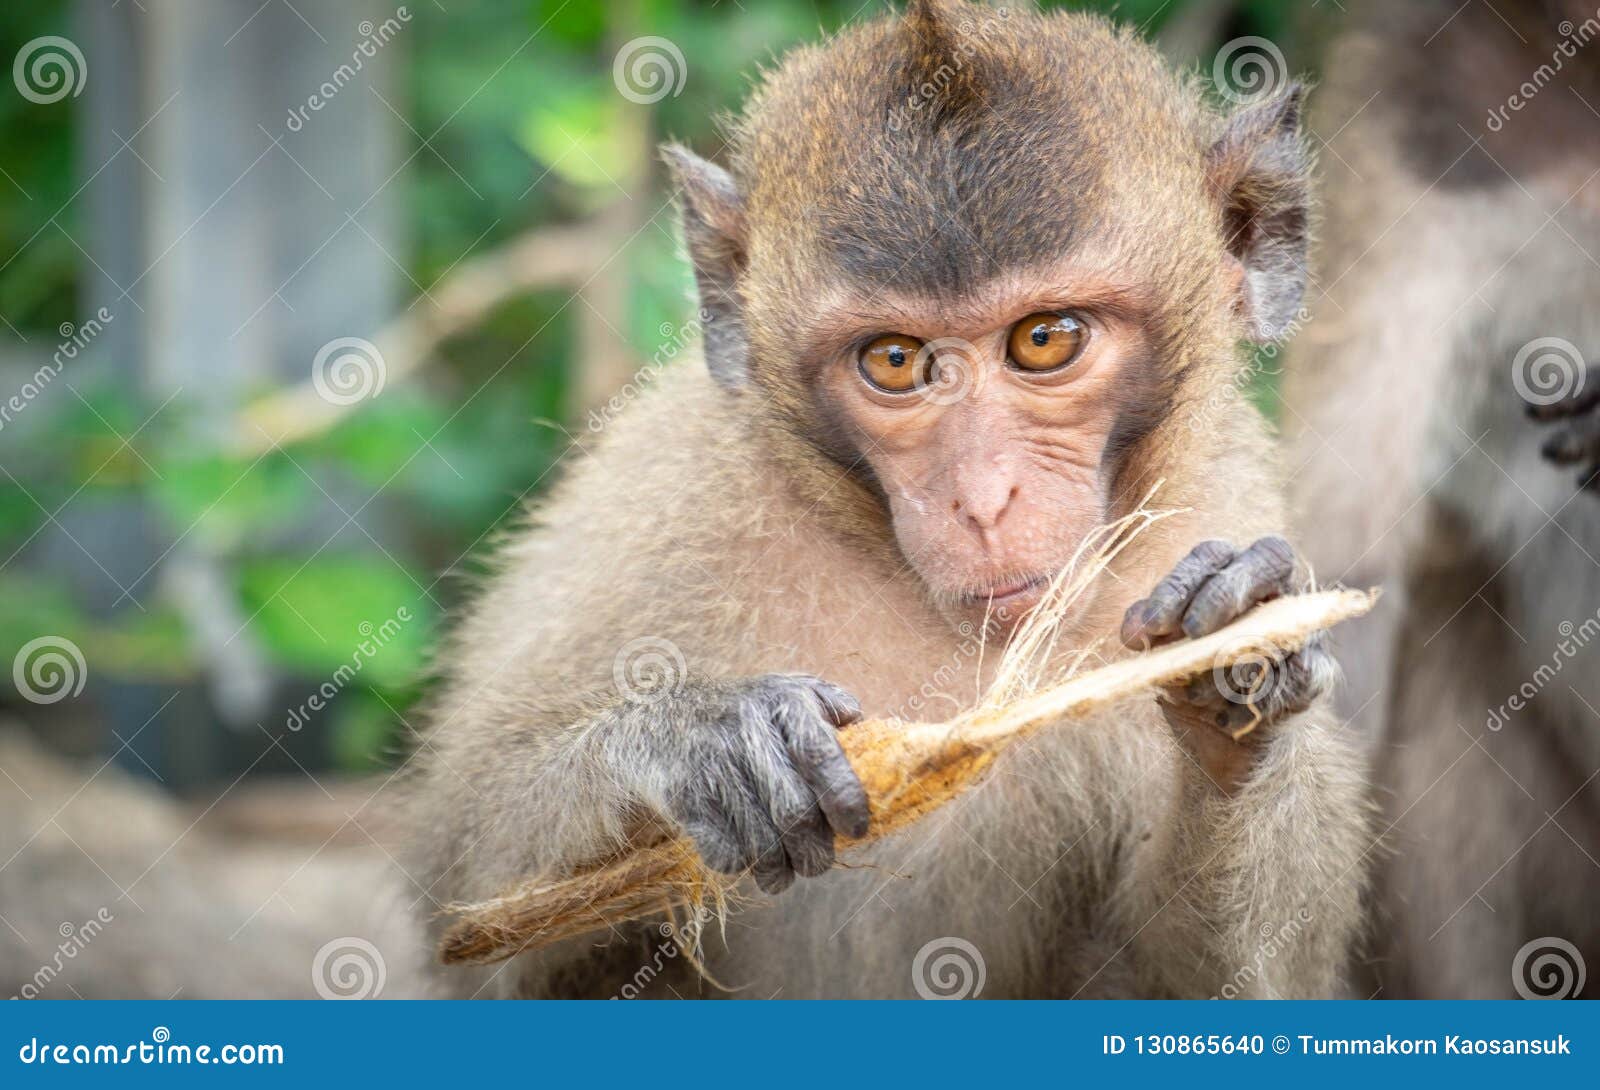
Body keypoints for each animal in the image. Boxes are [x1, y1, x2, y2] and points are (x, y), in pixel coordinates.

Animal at [403, 0, 1371, 1000]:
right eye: (896, 360)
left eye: (1045, 341)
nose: (982, 499)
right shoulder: (661, 490)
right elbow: (471, 904)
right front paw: (693, 745)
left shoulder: (1212, 500)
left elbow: (1195, 984)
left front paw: (1240, 680)